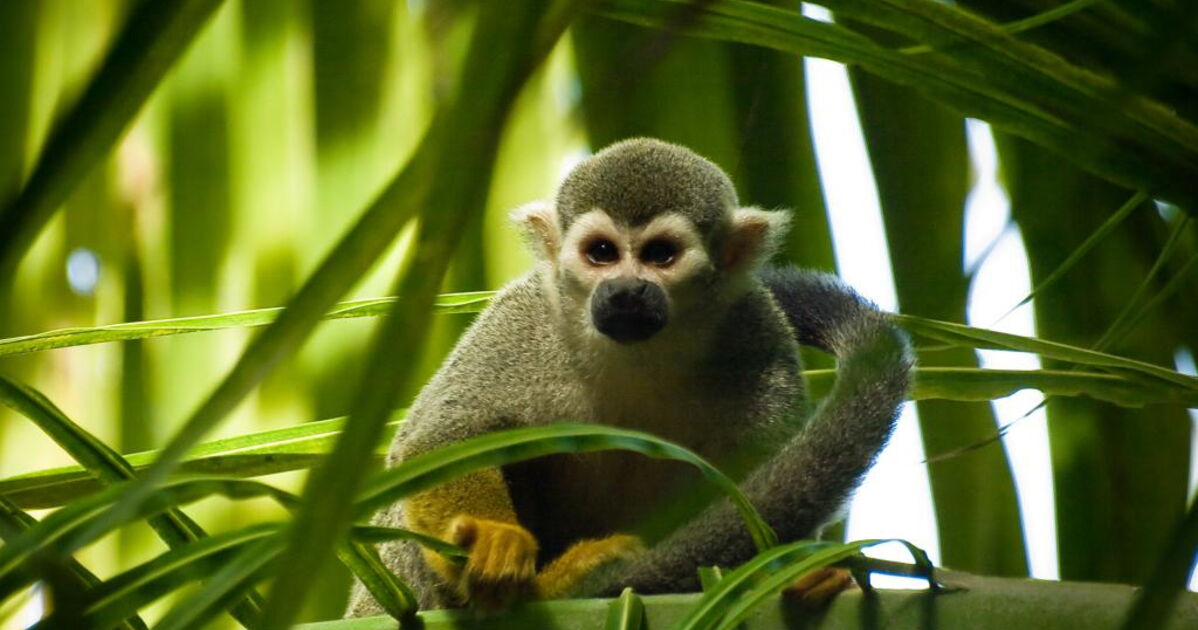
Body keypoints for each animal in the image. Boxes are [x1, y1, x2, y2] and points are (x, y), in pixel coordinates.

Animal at [345, 138, 913, 615]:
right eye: (602, 253)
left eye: (660, 255)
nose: (625, 291)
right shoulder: (523, 319)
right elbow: (444, 437)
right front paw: (490, 536)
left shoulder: (759, 336)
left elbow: (761, 489)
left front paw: (791, 568)